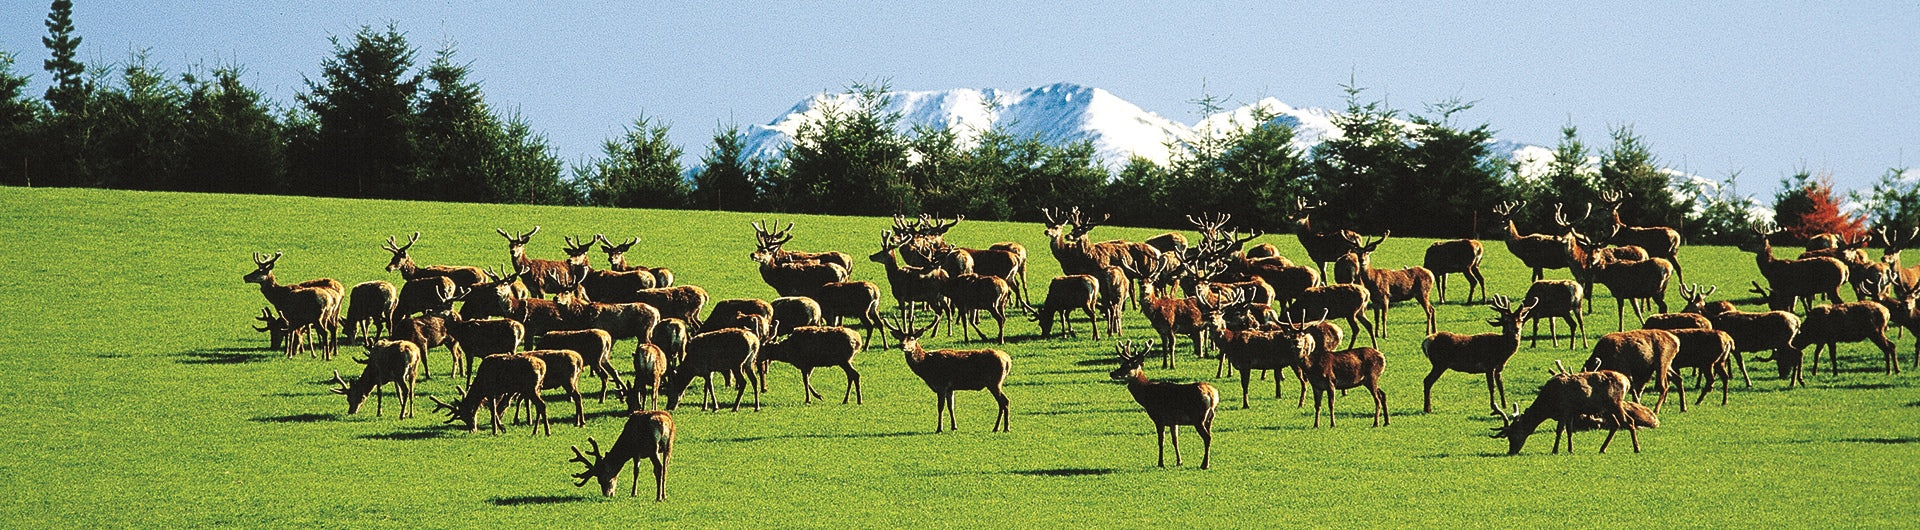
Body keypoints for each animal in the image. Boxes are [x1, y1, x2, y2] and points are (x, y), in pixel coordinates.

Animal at [881, 315, 1012, 433]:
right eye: (900, 338)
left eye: (912, 338)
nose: (902, 345)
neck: (926, 367)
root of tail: (1008, 360)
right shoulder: (950, 388)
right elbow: (951, 406)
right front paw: (954, 427)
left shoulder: (941, 385)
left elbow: (940, 407)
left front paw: (939, 429)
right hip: (996, 382)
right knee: (1002, 402)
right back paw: (998, 428)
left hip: (994, 382)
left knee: (1004, 401)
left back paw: (1004, 428)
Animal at [1110, 340, 1219, 469]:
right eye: (1121, 364)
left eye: (1127, 366)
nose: (1112, 373)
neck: (1147, 396)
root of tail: (1212, 396)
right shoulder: (1173, 421)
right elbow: (1175, 440)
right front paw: (1179, 461)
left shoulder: (1159, 418)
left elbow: (1161, 441)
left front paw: (1160, 463)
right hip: (1210, 418)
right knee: (1210, 435)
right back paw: (1206, 463)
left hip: (1198, 417)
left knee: (1207, 437)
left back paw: (1204, 464)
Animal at [1490, 361, 1647, 455]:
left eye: (1512, 435)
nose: (1511, 451)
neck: (1548, 406)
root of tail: (1626, 381)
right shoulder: (1571, 412)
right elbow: (1570, 430)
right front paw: (1570, 449)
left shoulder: (1564, 409)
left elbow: (1560, 430)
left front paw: (1555, 450)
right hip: (1607, 407)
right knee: (1616, 424)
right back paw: (1602, 449)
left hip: (1615, 403)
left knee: (1629, 421)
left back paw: (1637, 448)